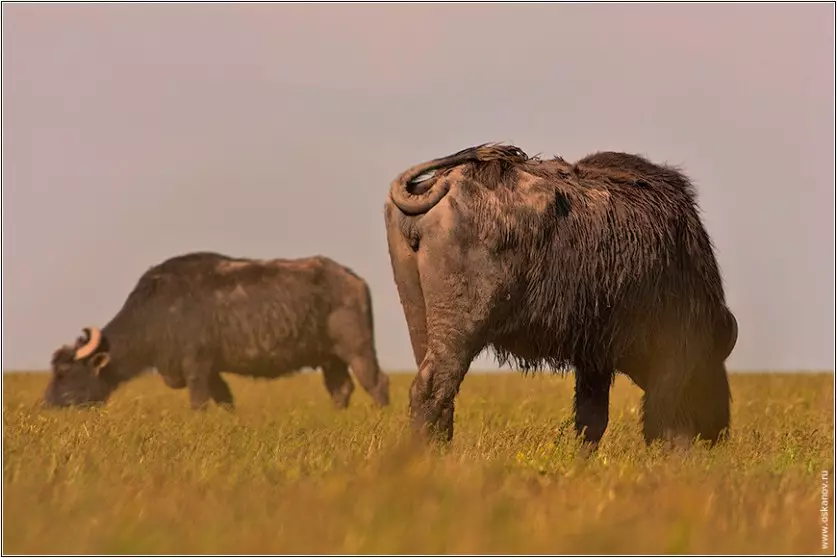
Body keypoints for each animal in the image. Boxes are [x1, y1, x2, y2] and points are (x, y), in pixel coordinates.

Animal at [48, 254, 392, 412]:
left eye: (65, 372)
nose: (47, 404)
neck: (157, 311)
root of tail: (353, 279)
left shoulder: (196, 369)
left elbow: (199, 403)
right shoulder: (212, 372)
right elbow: (226, 401)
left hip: (358, 349)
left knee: (376, 383)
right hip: (330, 360)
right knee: (341, 389)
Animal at [382, 144, 736, 450]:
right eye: (714, 360)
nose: (717, 432)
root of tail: (445, 182)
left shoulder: (594, 359)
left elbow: (591, 420)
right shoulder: (669, 353)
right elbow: (663, 416)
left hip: (421, 321)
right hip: (461, 329)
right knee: (433, 388)